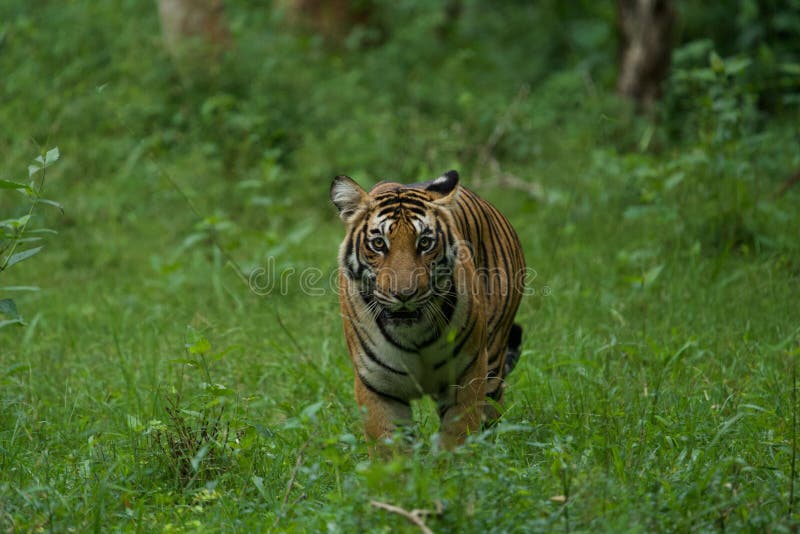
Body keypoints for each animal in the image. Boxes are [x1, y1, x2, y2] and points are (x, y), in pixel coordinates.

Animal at [330, 170, 526, 452]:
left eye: (424, 243)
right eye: (378, 243)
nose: (404, 294)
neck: (414, 333)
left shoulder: (466, 373)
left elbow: (457, 439)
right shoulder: (377, 386)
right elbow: (390, 451)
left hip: (493, 360)